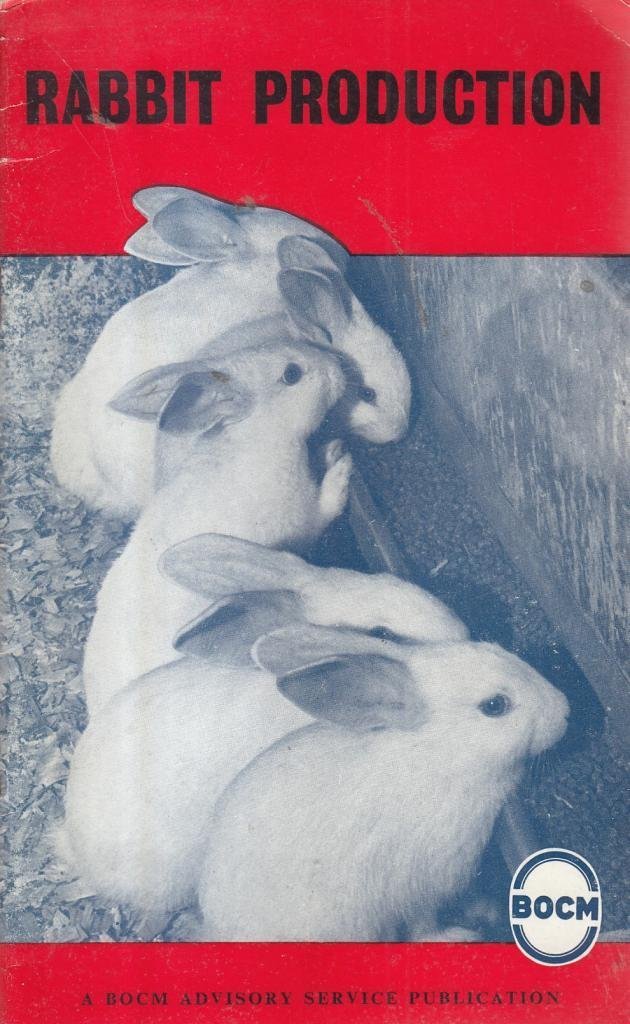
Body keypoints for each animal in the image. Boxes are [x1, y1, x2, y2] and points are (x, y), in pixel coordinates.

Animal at [82, 324, 353, 716]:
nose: (337, 363)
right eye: (291, 374)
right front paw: (340, 462)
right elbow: (326, 507)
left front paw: (329, 451)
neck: (256, 437)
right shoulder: (303, 517)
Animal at [197, 624, 569, 942]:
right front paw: (456, 935)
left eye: (497, 648)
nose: (565, 711)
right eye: (494, 705)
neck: (442, 754)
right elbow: (424, 923)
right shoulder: (424, 884)